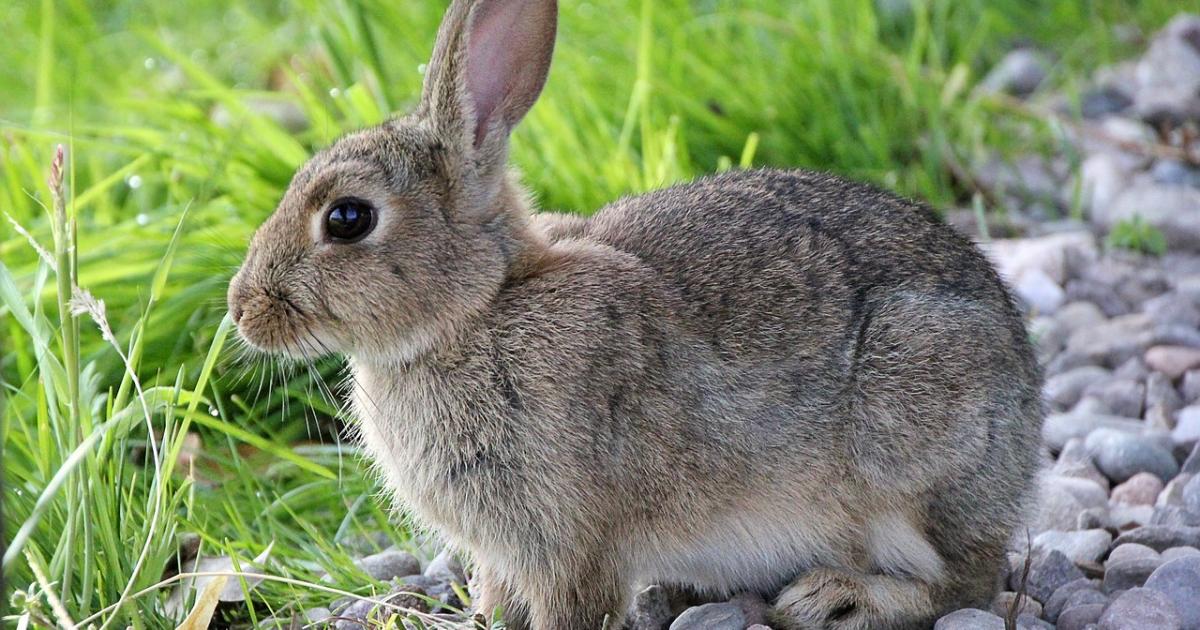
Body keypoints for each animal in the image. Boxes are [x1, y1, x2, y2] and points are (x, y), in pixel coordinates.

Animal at [226, 0, 1044, 628]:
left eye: (348, 218)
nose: (243, 310)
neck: (479, 309)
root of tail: (1028, 411)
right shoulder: (504, 550)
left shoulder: (570, 539)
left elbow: (572, 606)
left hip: (916, 444)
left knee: (967, 582)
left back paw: (836, 598)